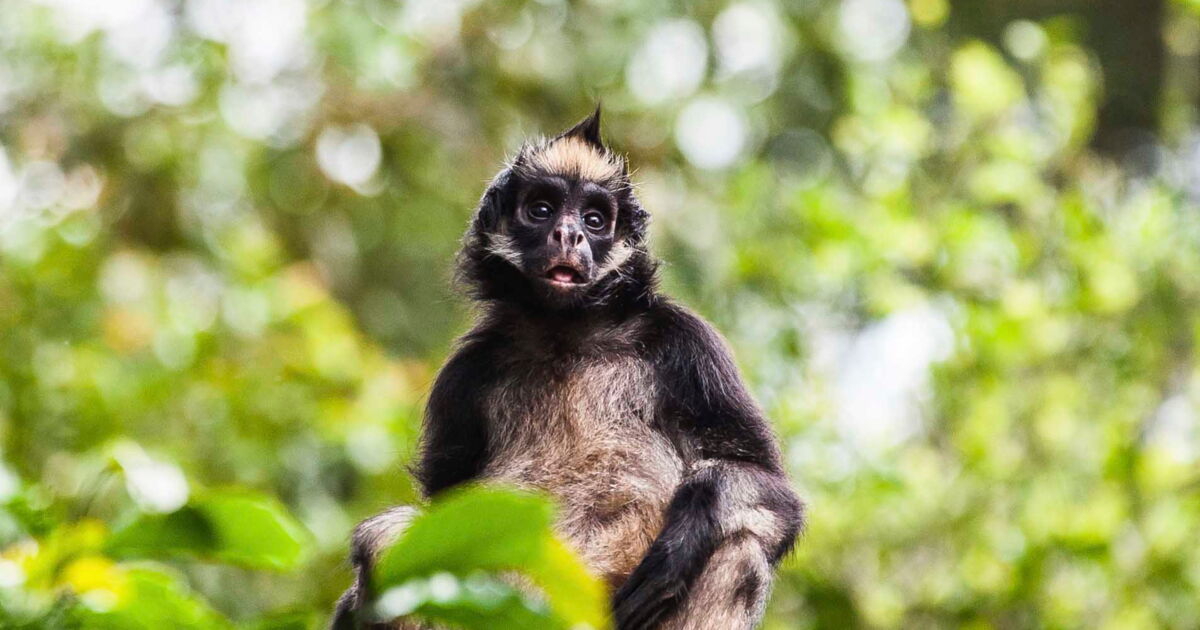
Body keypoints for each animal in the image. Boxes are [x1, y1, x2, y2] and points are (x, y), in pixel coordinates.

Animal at [332, 108, 804, 630]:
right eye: (541, 210)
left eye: (595, 221)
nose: (569, 234)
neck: (566, 335)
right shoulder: (466, 372)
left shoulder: (687, 341)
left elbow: (771, 489)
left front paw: (684, 537)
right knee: (386, 539)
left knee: (738, 547)